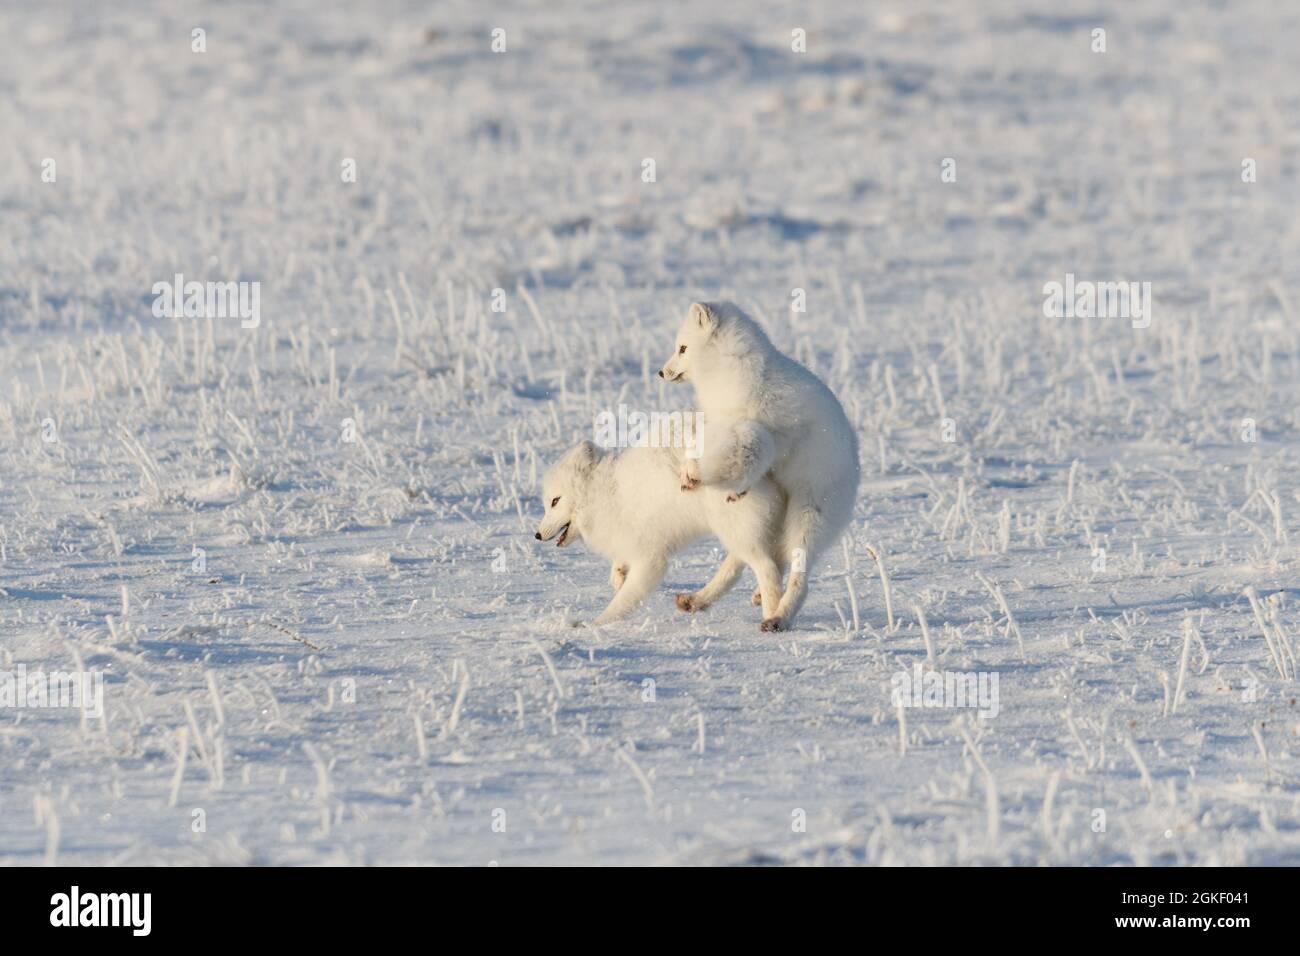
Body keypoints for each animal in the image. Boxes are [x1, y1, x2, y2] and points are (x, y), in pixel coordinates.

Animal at [534, 437, 787, 628]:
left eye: (555, 501)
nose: (537, 535)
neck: (605, 493)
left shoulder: (651, 559)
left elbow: (624, 600)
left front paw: (594, 624)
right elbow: (618, 569)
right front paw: (618, 575)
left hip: (732, 525)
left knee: (766, 567)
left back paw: (771, 615)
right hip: (735, 529)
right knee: (746, 563)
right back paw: (699, 601)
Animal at [658, 301, 860, 629]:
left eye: (683, 348)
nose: (661, 372)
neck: (731, 370)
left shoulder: (761, 433)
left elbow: (746, 457)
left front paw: (696, 473)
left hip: (809, 514)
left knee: (795, 574)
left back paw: (778, 616)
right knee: (754, 560)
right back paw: (702, 599)